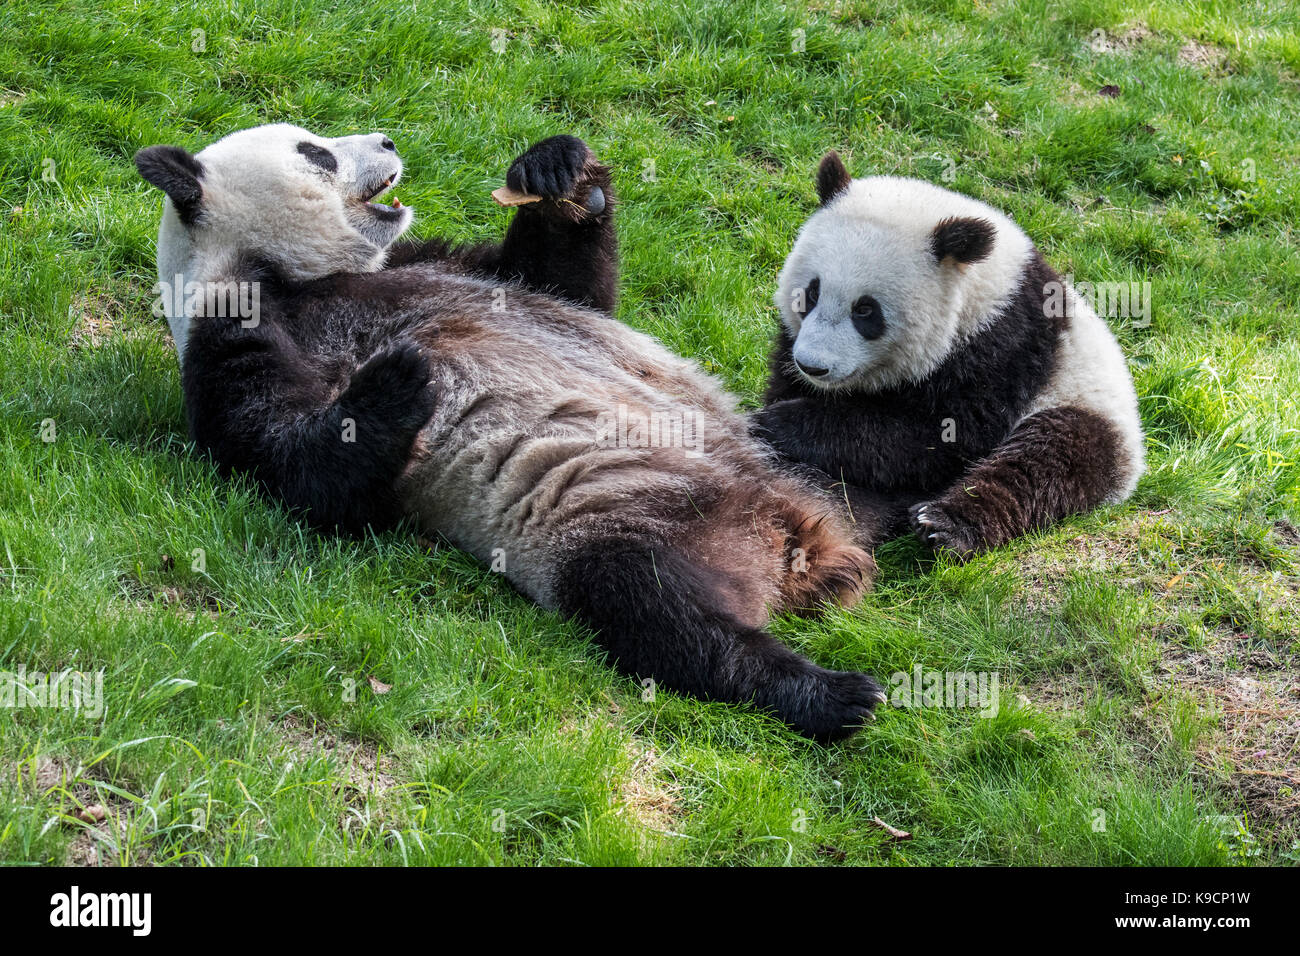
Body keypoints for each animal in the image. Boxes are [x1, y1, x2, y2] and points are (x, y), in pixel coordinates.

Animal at [134, 124, 886, 740]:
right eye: (316, 153)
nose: (387, 141)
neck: (289, 274)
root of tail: (795, 534)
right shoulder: (236, 331)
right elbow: (299, 469)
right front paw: (400, 376)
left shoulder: (436, 260)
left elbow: (561, 284)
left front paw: (557, 172)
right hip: (628, 516)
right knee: (657, 608)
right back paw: (831, 694)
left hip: (782, 461)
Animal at [751, 152, 1145, 557]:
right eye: (812, 293)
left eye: (866, 311)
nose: (812, 365)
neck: (980, 290)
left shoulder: (1003, 349)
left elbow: (941, 435)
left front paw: (780, 423)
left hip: (1084, 407)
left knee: (1041, 465)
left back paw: (943, 525)